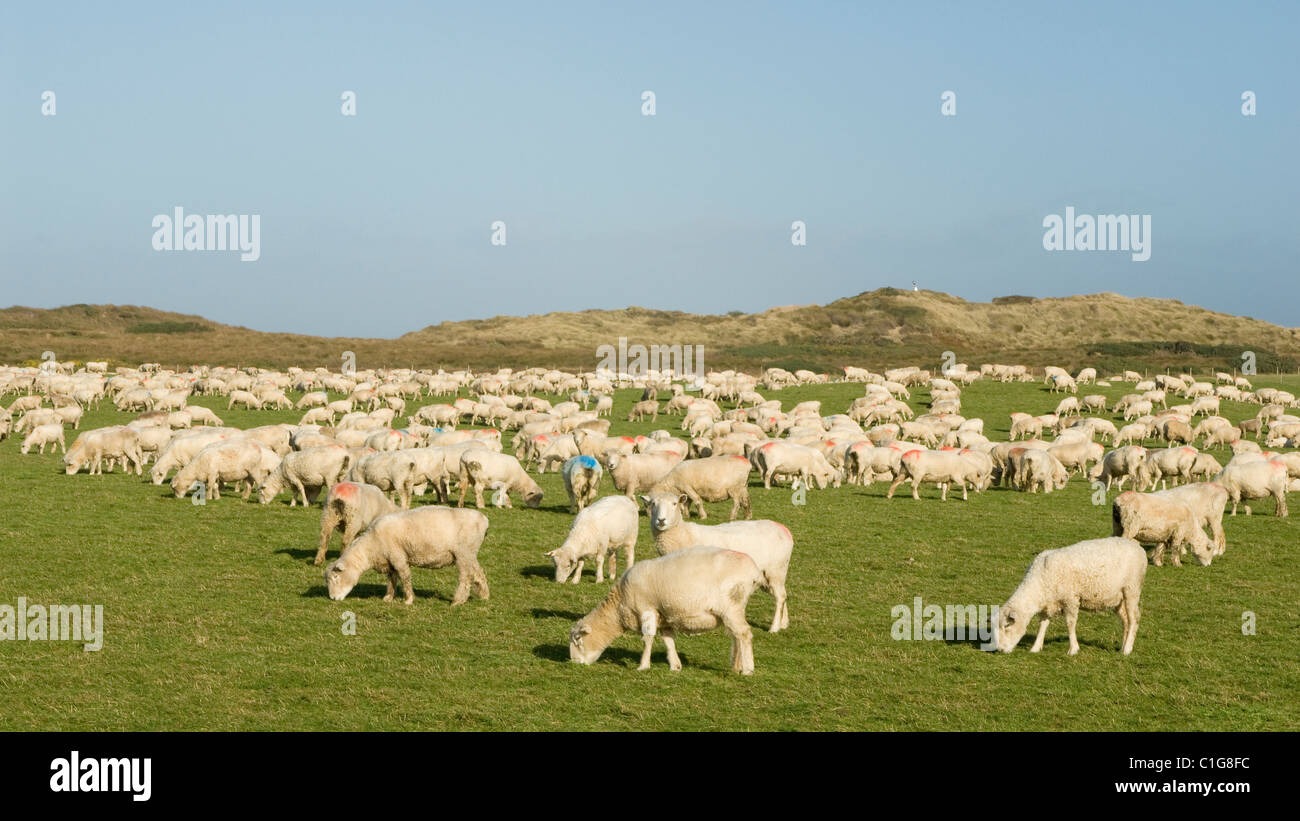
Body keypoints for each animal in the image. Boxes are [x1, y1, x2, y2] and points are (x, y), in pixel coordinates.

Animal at [324, 505, 490, 606]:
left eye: (336, 577)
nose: (332, 598)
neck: (372, 546)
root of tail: (484, 520)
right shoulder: (389, 560)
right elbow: (392, 579)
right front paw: (388, 598)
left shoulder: (398, 556)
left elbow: (404, 577)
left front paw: (409, 599)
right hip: (470, 554)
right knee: (479, 573)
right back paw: (484, 595)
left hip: (463, 553)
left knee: (464, 578)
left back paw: (457, 600)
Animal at [568, 546, 763, 674]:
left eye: (578, 640)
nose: (574, 663)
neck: (620, 606)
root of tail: (754, 570)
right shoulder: (665, 617)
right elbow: (668, 640)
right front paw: (675, 666)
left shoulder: (646, 609)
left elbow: (647, 638)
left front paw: (643, 666)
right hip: (734, 609)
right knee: (736, 636)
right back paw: (737, 666)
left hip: (731, 606)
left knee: (744, 634)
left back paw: (748, 669)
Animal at [641, 492, 793, 632]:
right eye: (653, 504)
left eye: (674, 504)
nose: (661, 520)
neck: (683, 534)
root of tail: (783, 528)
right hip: (770, 574)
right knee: (783, 594)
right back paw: (784, 623)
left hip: (776, 570)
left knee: (780, 596)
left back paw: (774, 628)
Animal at [994, 537, 1146, 655]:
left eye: (1007, 626)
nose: (1000, 650)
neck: (1040, 580)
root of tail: (1138, 547)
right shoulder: (1048, 603)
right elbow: (1042, 625)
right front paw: (1036, 647)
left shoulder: (1070, 599)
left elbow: (1070, 624)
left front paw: (1073, 649)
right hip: (1117, 598)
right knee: (1126, 620)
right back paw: (1123, 646)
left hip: (1132, 589)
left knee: (1134, 618)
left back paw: (1127, 649)